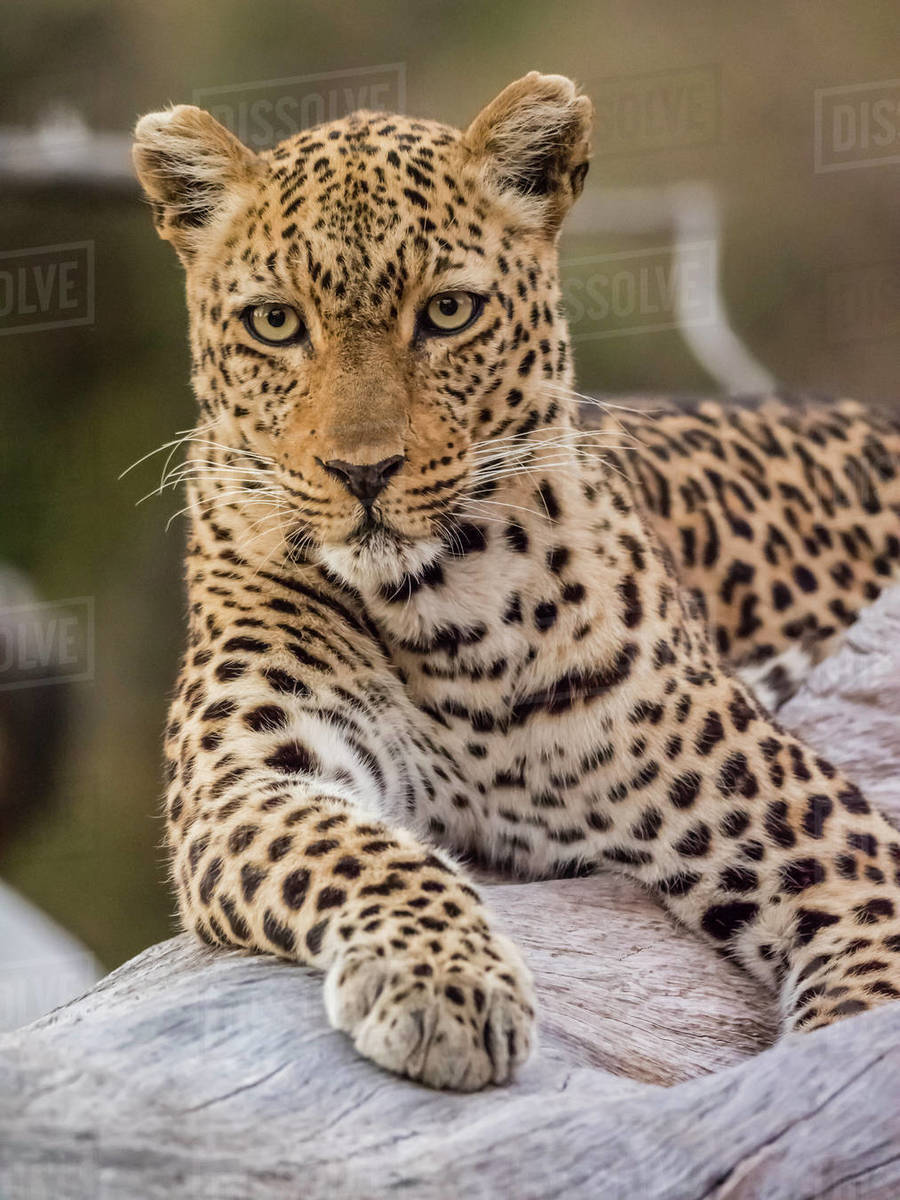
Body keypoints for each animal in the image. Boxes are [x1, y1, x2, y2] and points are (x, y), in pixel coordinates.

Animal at [132, 72, 900, 1092]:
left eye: (449, 313)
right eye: (276, 323)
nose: (362, 473)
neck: (444, 615)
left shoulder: (819, 836)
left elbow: (862, 1009)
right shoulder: (246, 777)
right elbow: (359, 849)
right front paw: (444, 988)